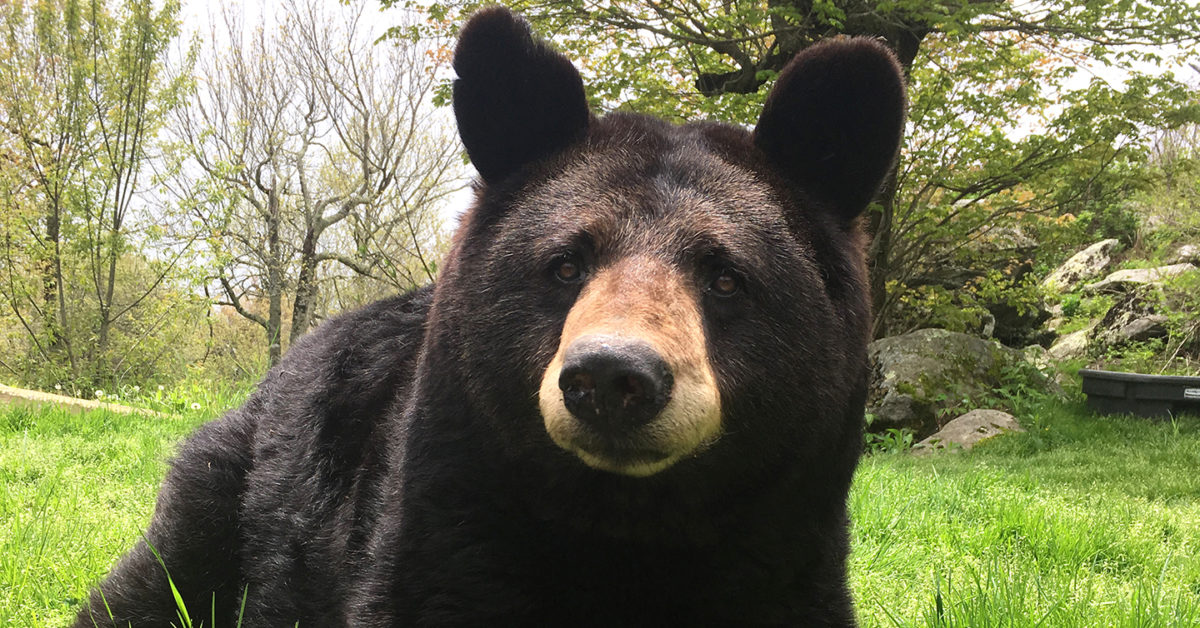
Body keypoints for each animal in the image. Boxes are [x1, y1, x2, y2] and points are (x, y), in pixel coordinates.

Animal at [74, 6, 906, 627]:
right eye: (565, 264)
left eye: (727, 277)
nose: (613, 377)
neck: (623, 521)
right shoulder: (447, 519)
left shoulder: (786, 548)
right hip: (234, 488)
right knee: (156, 580)